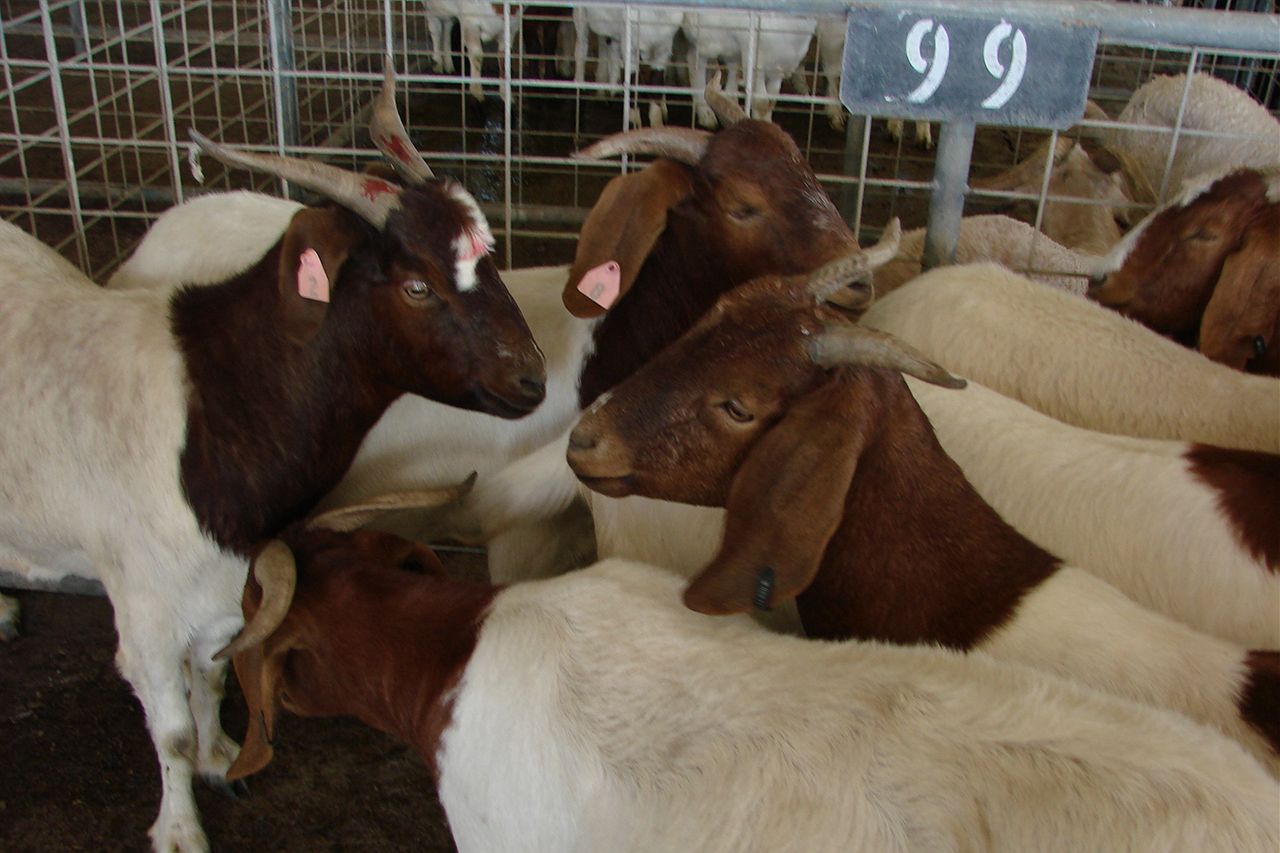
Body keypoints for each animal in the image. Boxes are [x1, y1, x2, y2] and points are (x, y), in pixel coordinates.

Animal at [0, 70, 543, 853]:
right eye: (417, 284)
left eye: (489, 258)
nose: (531, 380)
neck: (211, 399)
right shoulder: (143, 599)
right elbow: (166, 724)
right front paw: (179, 827)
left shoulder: (224, 578)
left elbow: (211, 675)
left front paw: (221, 759)